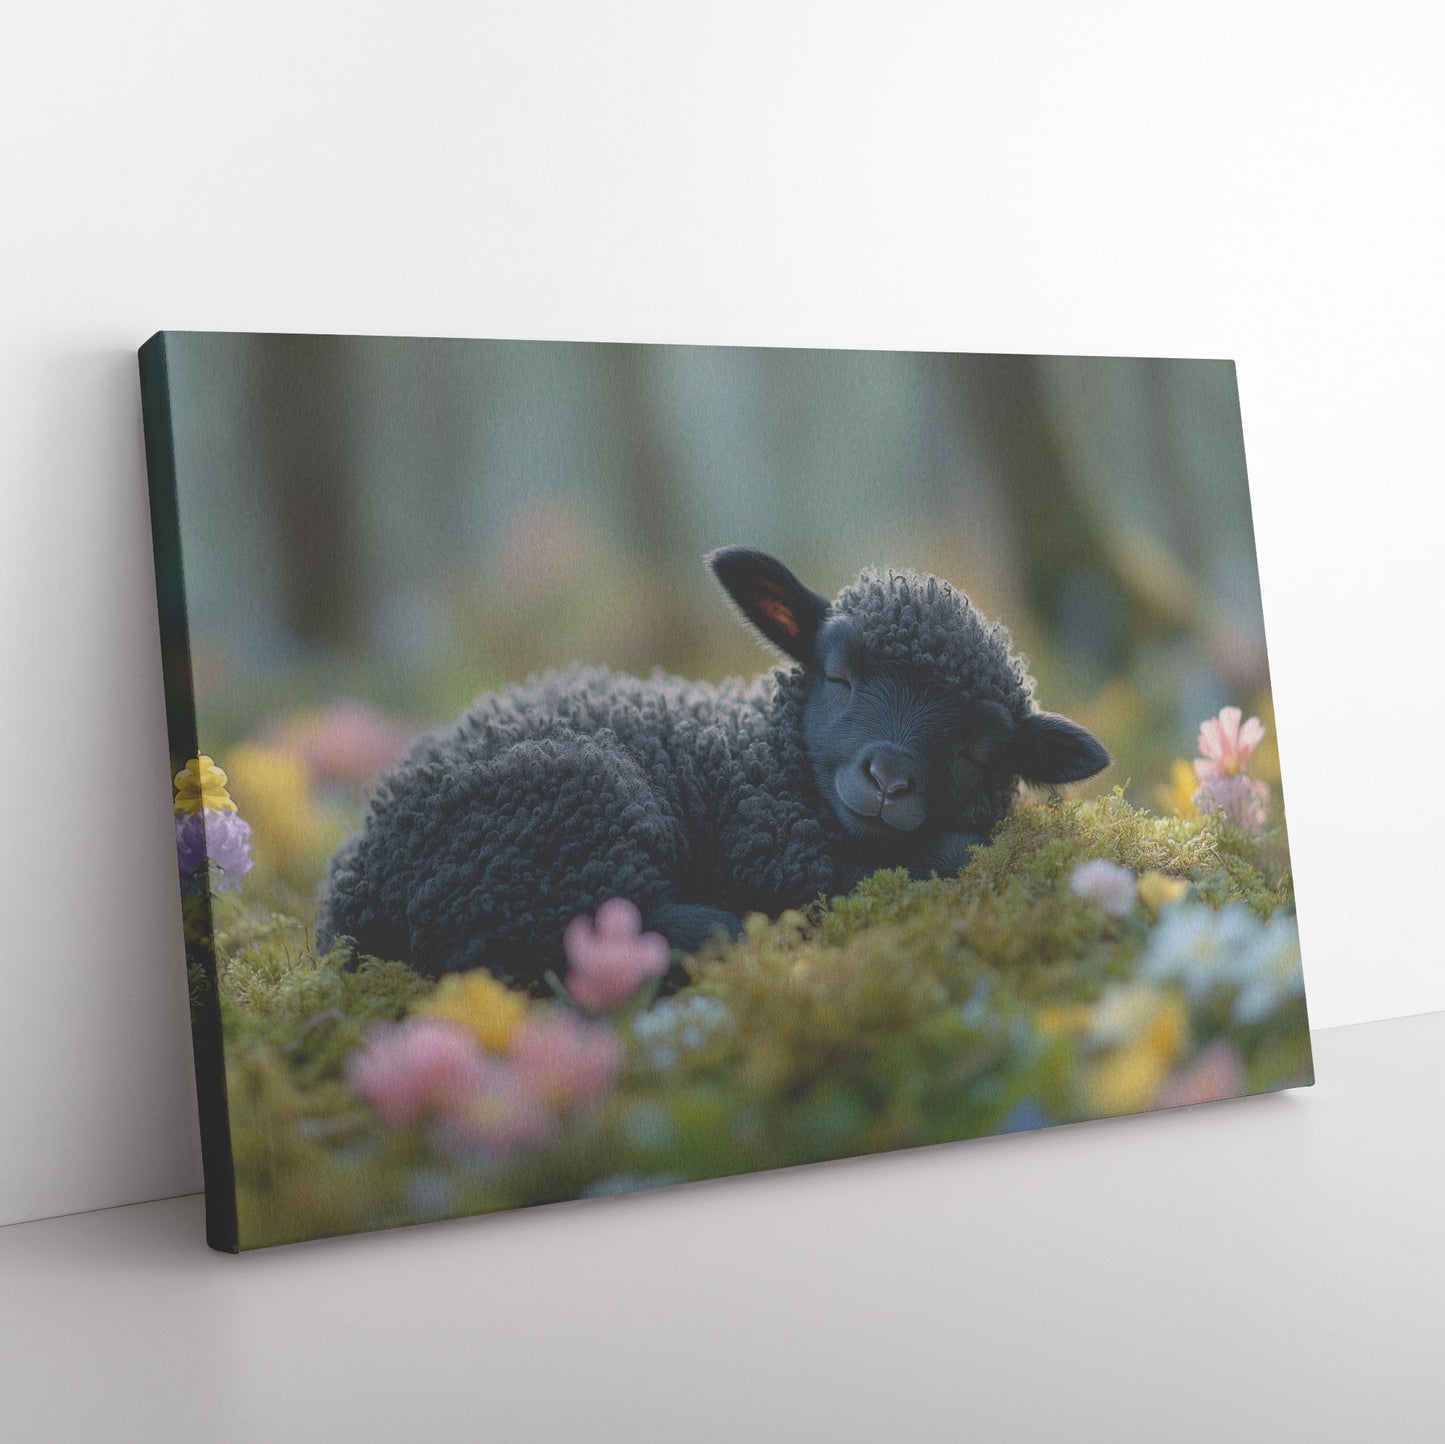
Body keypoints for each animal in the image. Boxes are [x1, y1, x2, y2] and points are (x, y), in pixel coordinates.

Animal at [317, 548, 1109, 989]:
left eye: (978, 749)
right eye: (839, 676)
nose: (887, 779)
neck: (753, 751)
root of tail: (354, 896)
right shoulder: (778, 856)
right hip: (559, 821)